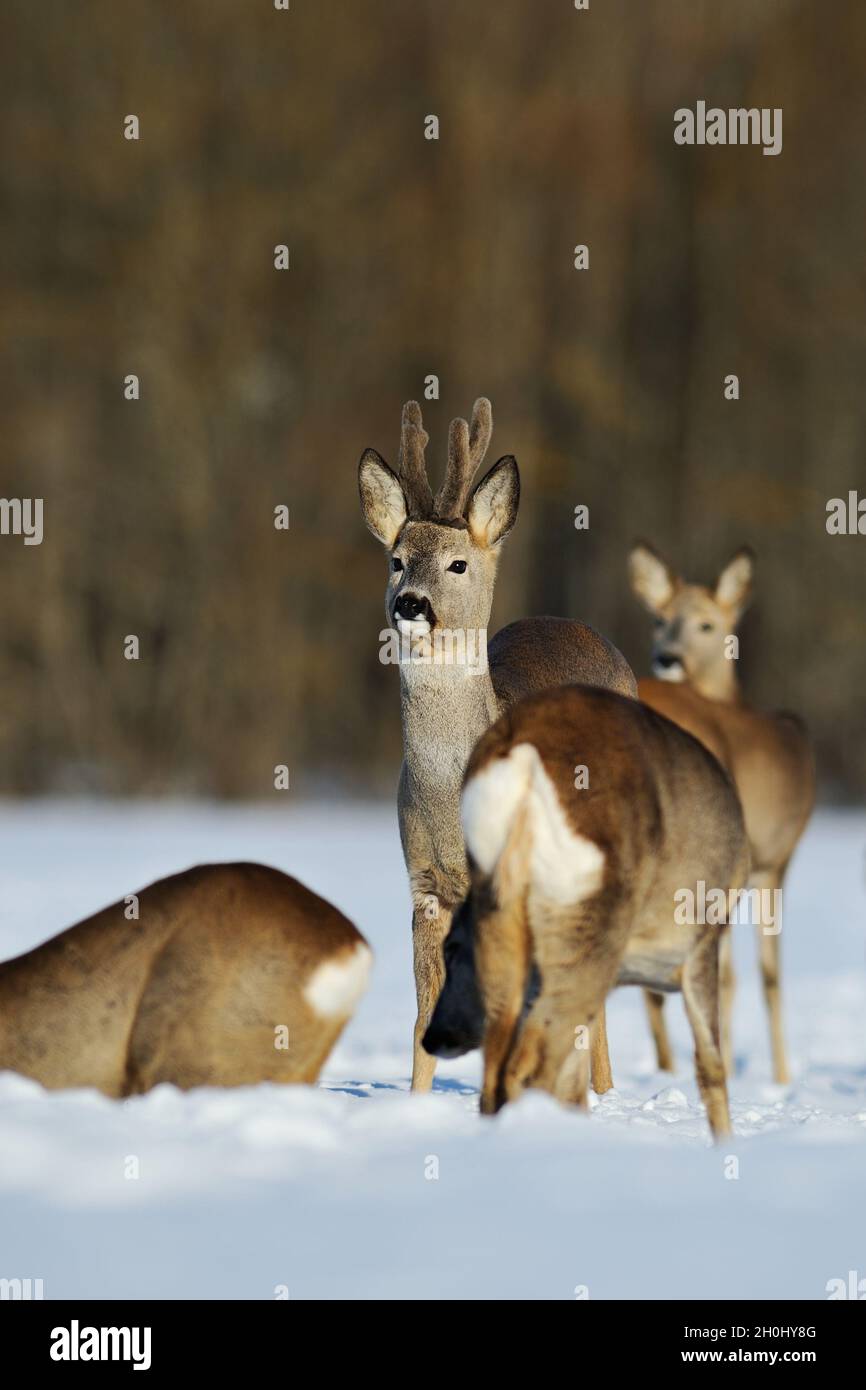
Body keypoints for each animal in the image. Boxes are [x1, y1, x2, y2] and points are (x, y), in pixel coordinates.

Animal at [423, 684, 750, 1140]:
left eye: (452, 950)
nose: (436, 1036)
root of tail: (524, 756)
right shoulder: (702, 941)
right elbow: (711, 1067)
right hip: (588, 919)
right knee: (530, 1071)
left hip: (503, 921)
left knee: (499, 1079)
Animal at [628, 542, 815, 1084]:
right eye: (659, 619)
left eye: (707, 624)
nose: (667, 657)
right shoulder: (775, 858)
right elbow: (765, 974)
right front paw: (778, 1078)